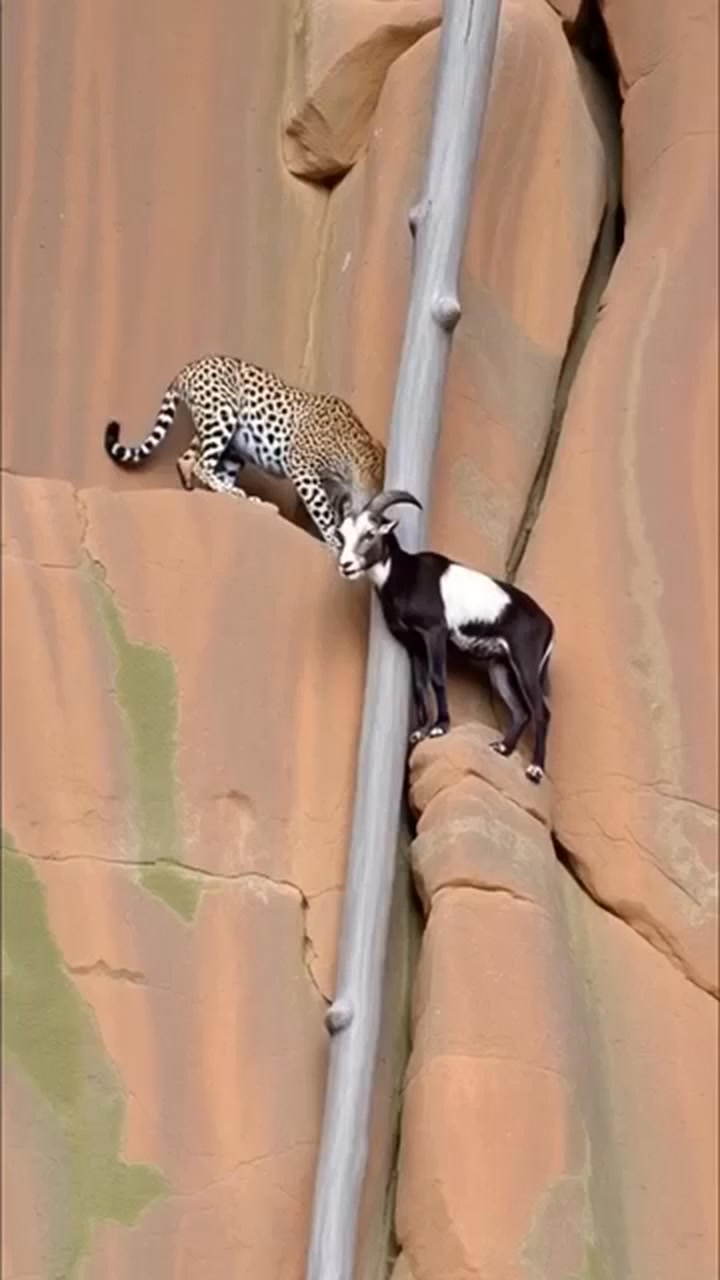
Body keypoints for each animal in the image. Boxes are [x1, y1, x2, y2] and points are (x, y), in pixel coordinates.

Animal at [336, 490, 555, 783]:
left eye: (370, 533)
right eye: (342, 534)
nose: (345, 565)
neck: (404, 574)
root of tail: (549, 624)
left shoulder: (435, 632)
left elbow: (437, 677)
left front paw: (440, 727)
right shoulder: (414, 644)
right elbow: (419, 684)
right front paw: (420, 730)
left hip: (526, 663)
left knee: (541, 712)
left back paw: (535, 769)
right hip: (500, 668)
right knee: (521, 711)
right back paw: (503, 748)